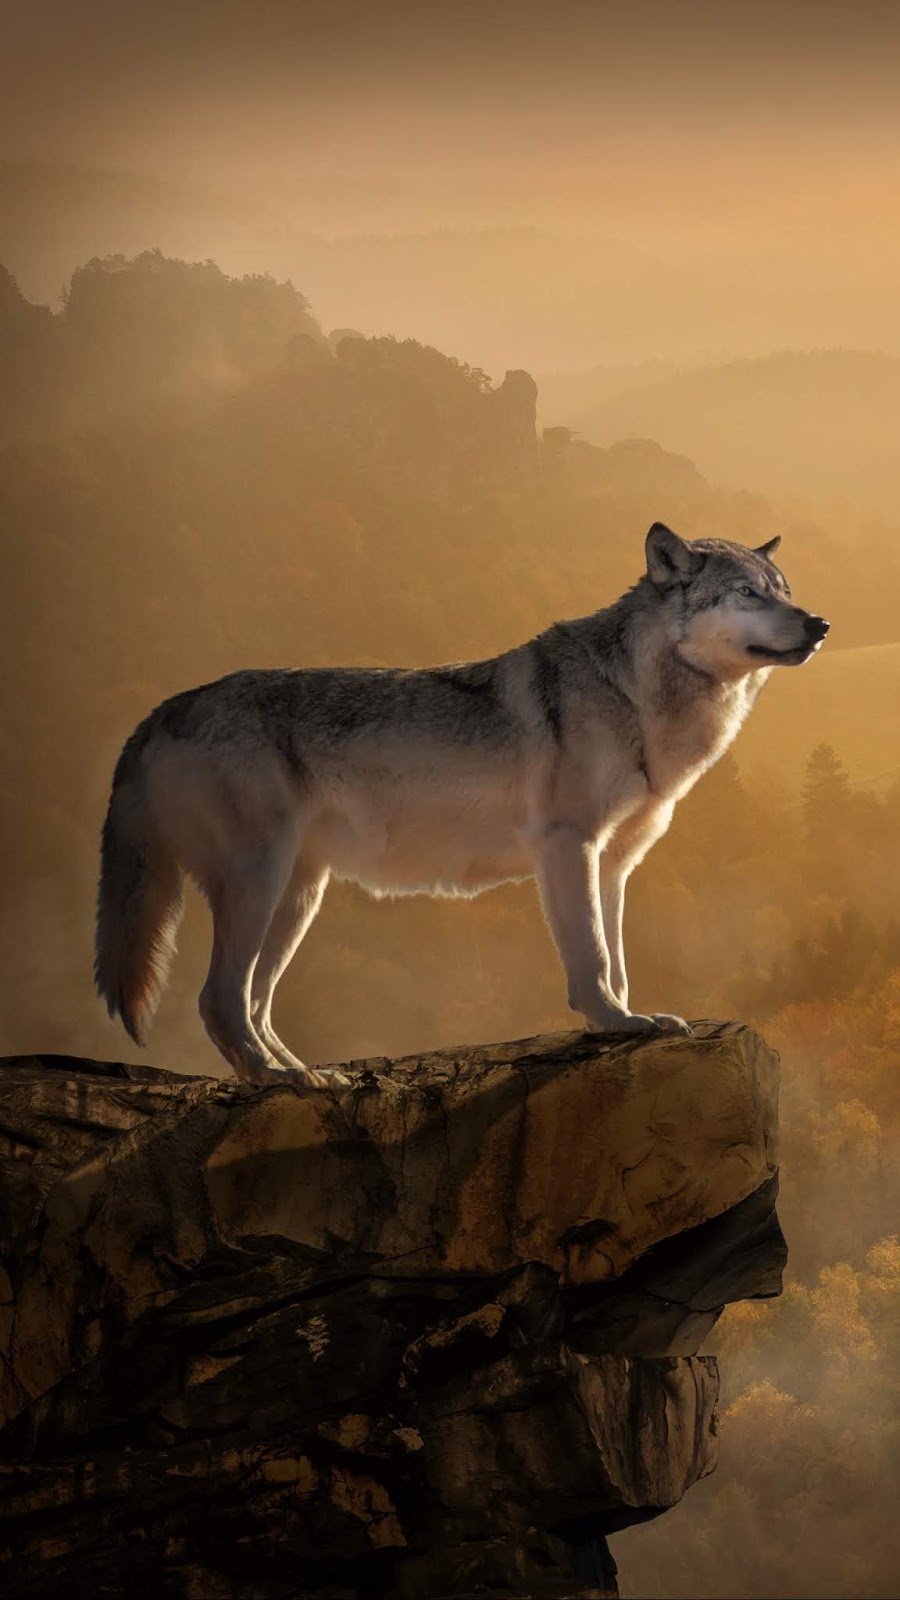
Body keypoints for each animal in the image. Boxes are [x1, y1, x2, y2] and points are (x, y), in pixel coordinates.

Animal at [95, 524, 828, 1088]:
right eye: (747, 593)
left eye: (785, 591)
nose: (821, 623)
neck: (636, 696)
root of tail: (162, 710)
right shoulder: (569, 846)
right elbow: (591, 958)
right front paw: (614, 1023)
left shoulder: (614, 864)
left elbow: (617, 959)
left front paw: (629, 1020)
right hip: (261, 882)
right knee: (220, 998)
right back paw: (276, 1080)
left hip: (299, 896)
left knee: (255, 1001)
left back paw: (306, 1075)